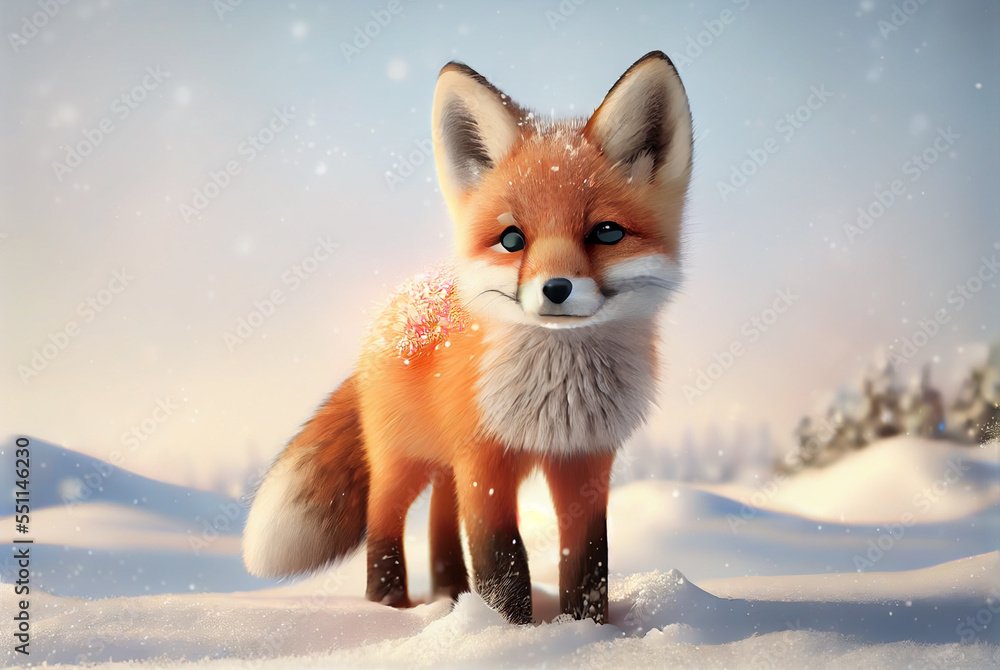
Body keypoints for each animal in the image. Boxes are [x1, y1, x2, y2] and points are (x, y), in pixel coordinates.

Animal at [242, 51, 693, 625]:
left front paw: (586, 631)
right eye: (512, 239)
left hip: (445, 459)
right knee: (385, 521)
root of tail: (400, 302)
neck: (558, 403)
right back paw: (392, 608)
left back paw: (452, 595)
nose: (556, 289)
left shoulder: (586, 459)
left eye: (607, 232)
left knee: (441, 513)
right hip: (402, 458)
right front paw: (508, 631)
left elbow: (589, 563)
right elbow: (503, 561)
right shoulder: (485, 457)